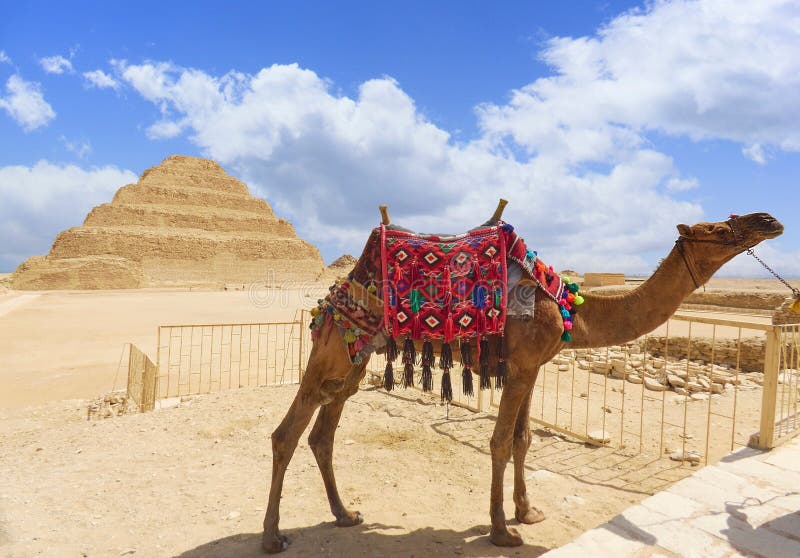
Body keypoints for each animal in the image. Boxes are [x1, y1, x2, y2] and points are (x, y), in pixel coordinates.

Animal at [262, 207, 783, 553]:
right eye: (719, 229)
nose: (770, 219)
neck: (569, 307)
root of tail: (333, 295)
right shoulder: (520, 368)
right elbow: (497, 442)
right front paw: (501, 530)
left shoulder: (530, 368)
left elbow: (522, 439)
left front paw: (527, 512)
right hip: (332, 352)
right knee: (286, 433)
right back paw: (272, 536)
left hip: (352, 361)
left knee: (323, 434)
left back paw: (346, 515)